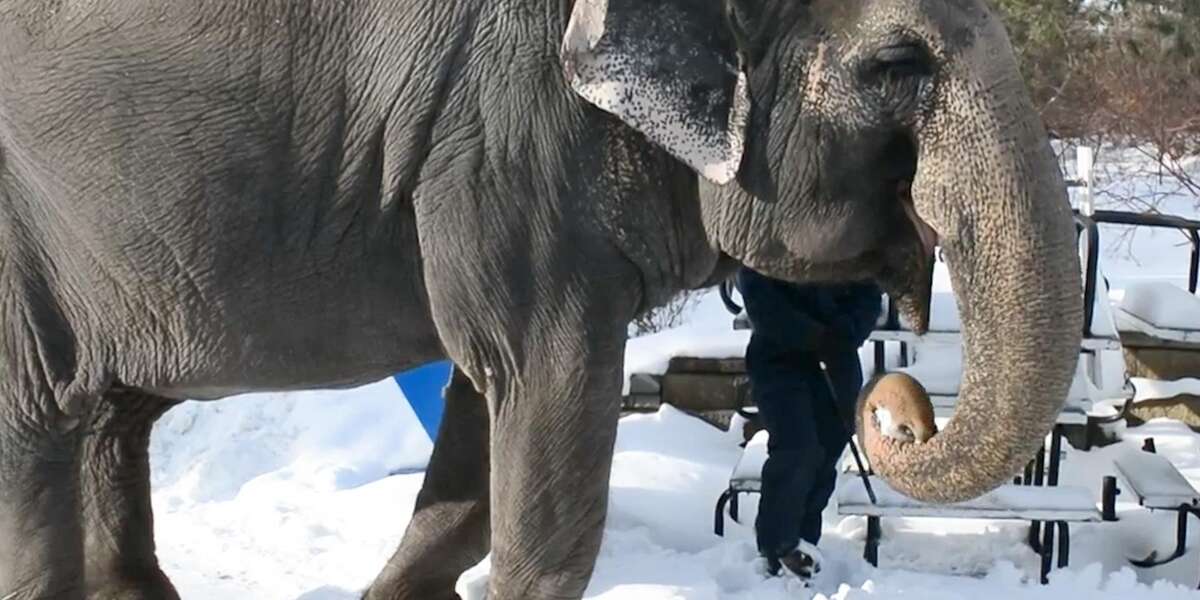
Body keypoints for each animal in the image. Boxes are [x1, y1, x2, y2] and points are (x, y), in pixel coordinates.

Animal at [0, 0, 1082, 598]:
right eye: (898, 65)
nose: (899, 408)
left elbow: (489, 397)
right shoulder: (506, 131)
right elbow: (545, 370)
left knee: (112, 419)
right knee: (38, 421)